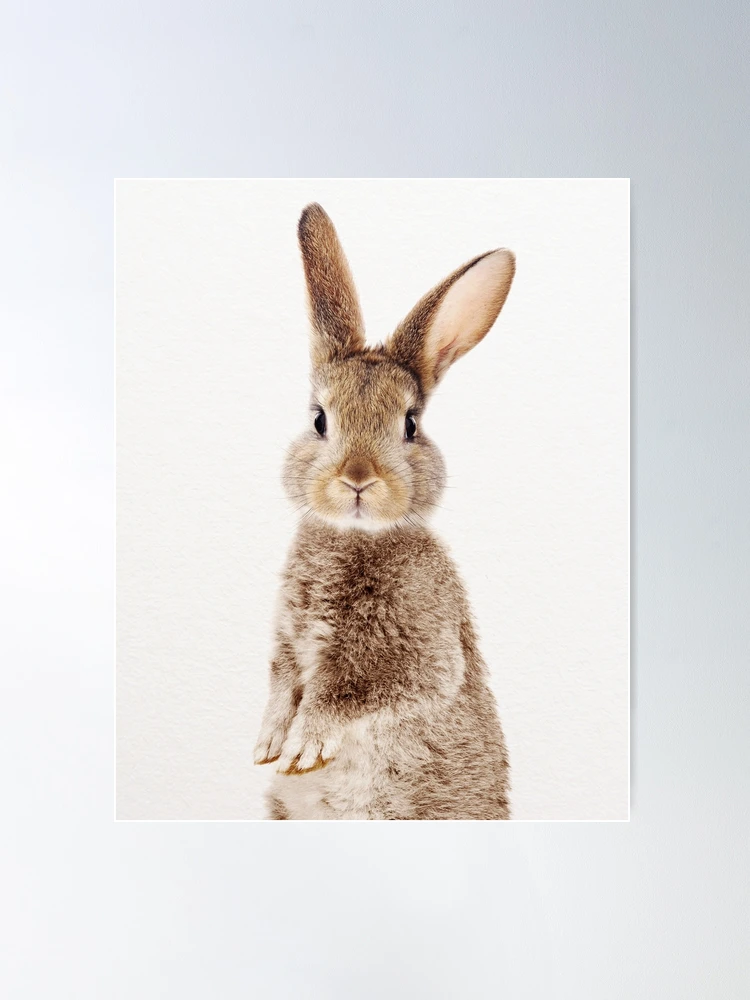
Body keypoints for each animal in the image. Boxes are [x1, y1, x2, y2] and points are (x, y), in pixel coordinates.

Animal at [253, 202, 515, 820]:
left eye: (411, 425)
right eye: (319, 419)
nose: (357, 478)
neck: (352, 537)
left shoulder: (414, 652)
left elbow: (347, 692)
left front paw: (303, 745)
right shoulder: (285, 641)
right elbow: (281, 682)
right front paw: (270, 741)